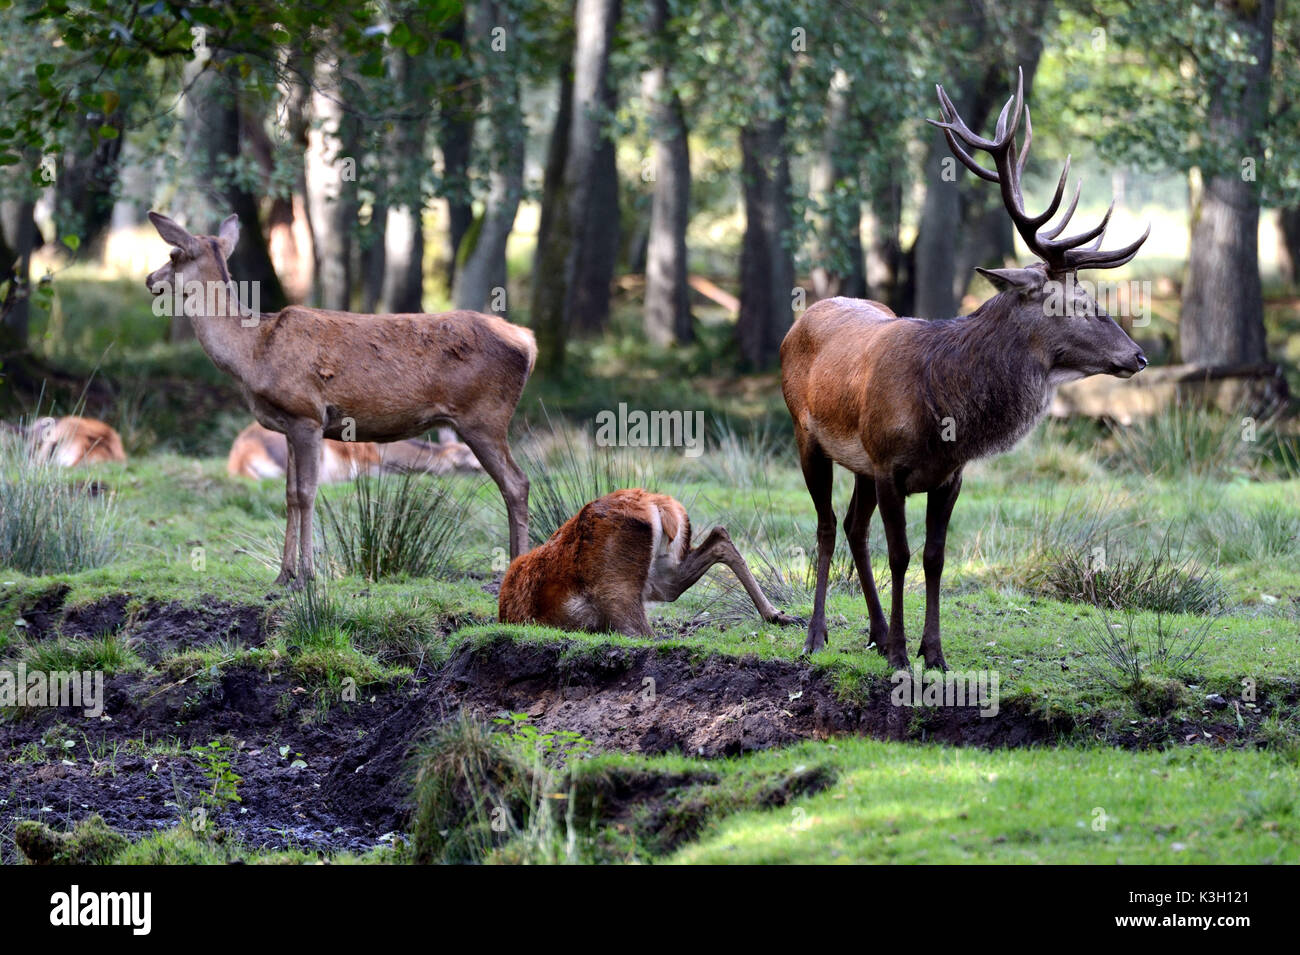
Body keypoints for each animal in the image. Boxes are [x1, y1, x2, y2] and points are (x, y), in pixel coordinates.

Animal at [145, 212, 535, 586]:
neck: (251, 354)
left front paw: (307, 576)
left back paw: (515, 566)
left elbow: (306, 494)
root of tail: (528, 342)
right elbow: (289, 494)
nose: (150, 278)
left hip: (484, 417)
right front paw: (282, 575)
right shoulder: (288, 425)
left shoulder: (307, 415)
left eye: (174, 254)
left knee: (517, 483)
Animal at [498, 488, 798, 636]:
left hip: (616, 587)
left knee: (641, 631)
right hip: (663, 574)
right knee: (719, 535)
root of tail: (660, 506)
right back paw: (778, 615)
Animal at [781, 68, 1150, 669]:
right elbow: (901, 554)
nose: (1138, 355)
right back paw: (818, 636)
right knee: (828, 526)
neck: (945, 412)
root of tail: (803, 317)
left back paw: (874, 632)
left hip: (857, 462)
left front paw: (932, 652)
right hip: (807, 435)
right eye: (1072, 303)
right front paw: (902, 654)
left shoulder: (948, 476)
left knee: (855, 528)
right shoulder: (889, 465)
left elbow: (934, 557)